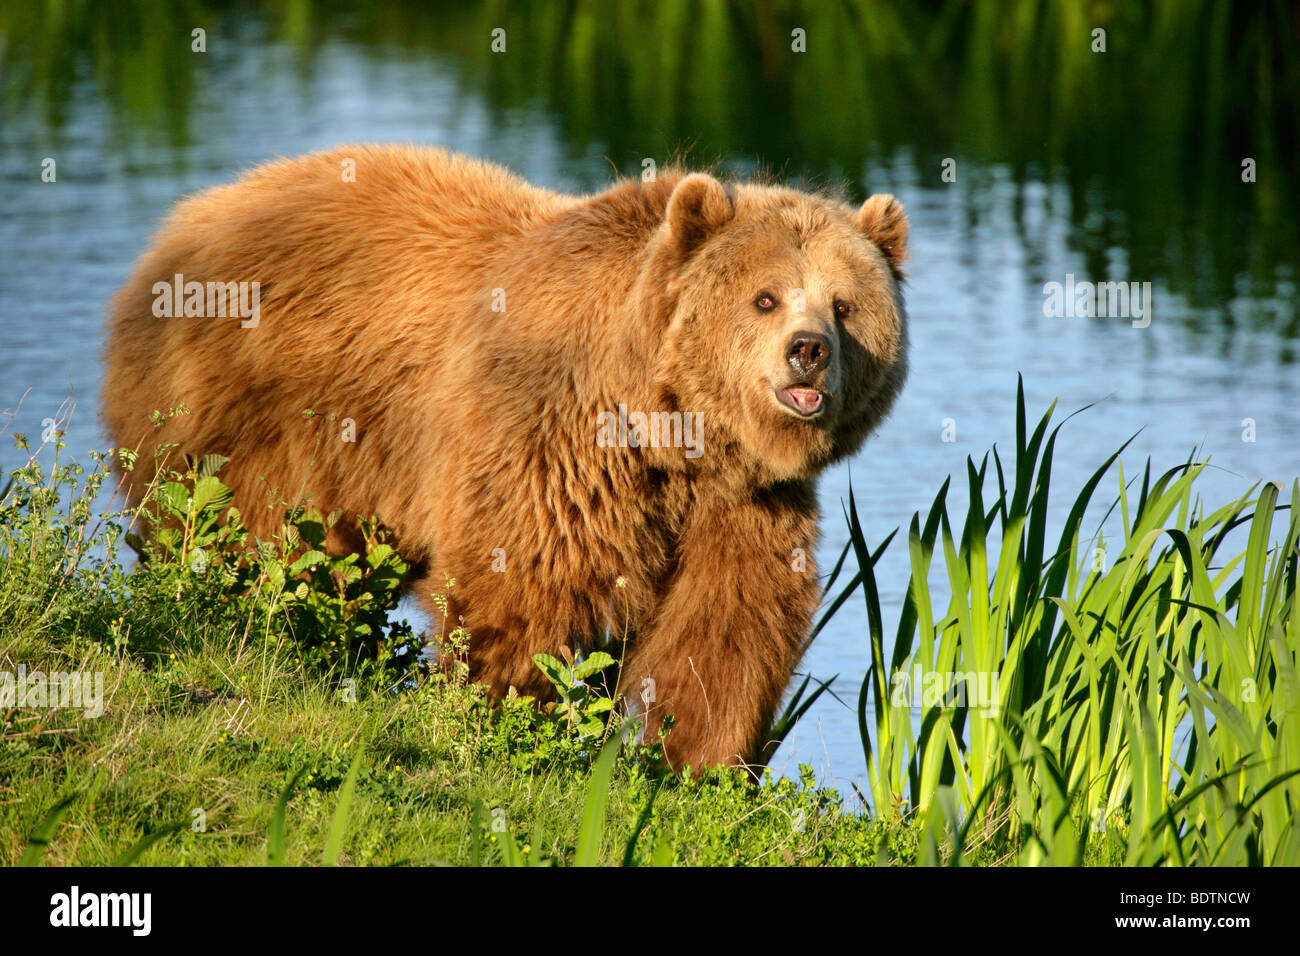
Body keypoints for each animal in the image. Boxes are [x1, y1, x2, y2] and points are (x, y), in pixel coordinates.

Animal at [101, 144, 909, 769]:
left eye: (844, 305)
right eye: (765, 298)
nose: (809, 352)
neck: (666, 430)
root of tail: (186, 219)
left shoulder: (739, 502)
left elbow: (726, 631)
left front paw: (699, 762)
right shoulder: (552, 436)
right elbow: (521, 589)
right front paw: (504, 719)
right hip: (253, 413)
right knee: (256, 546)